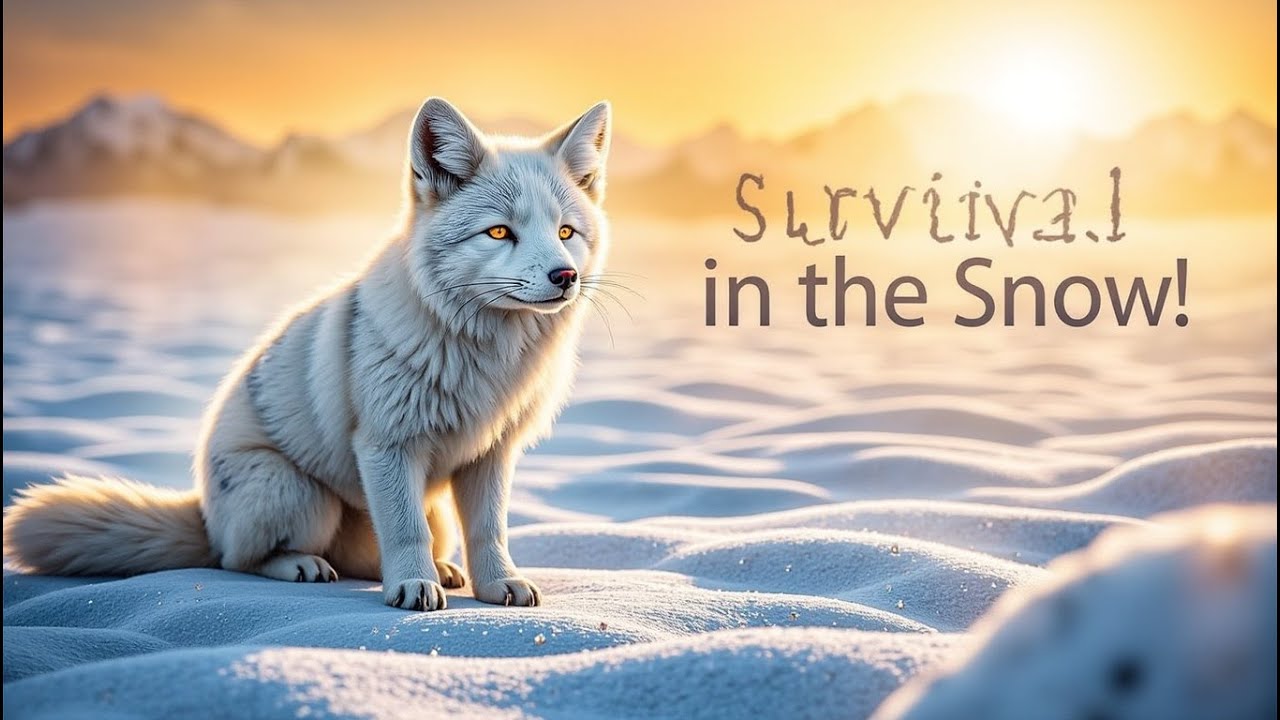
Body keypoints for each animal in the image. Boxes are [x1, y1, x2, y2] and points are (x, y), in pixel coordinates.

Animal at [2, 97, 614, 611]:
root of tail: (205, 513)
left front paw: (497, 586)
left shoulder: (491, 452)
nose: (565, 277)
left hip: (428, 510)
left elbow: (489, 530)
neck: (485, 358)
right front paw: (414, 589)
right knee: (237, 560)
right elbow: (404, 530)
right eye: (499, 233)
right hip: (299, 494)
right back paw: (304, 565)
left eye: (566, 232)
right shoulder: (386, 444)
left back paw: (437, 569)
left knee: (374, 555)